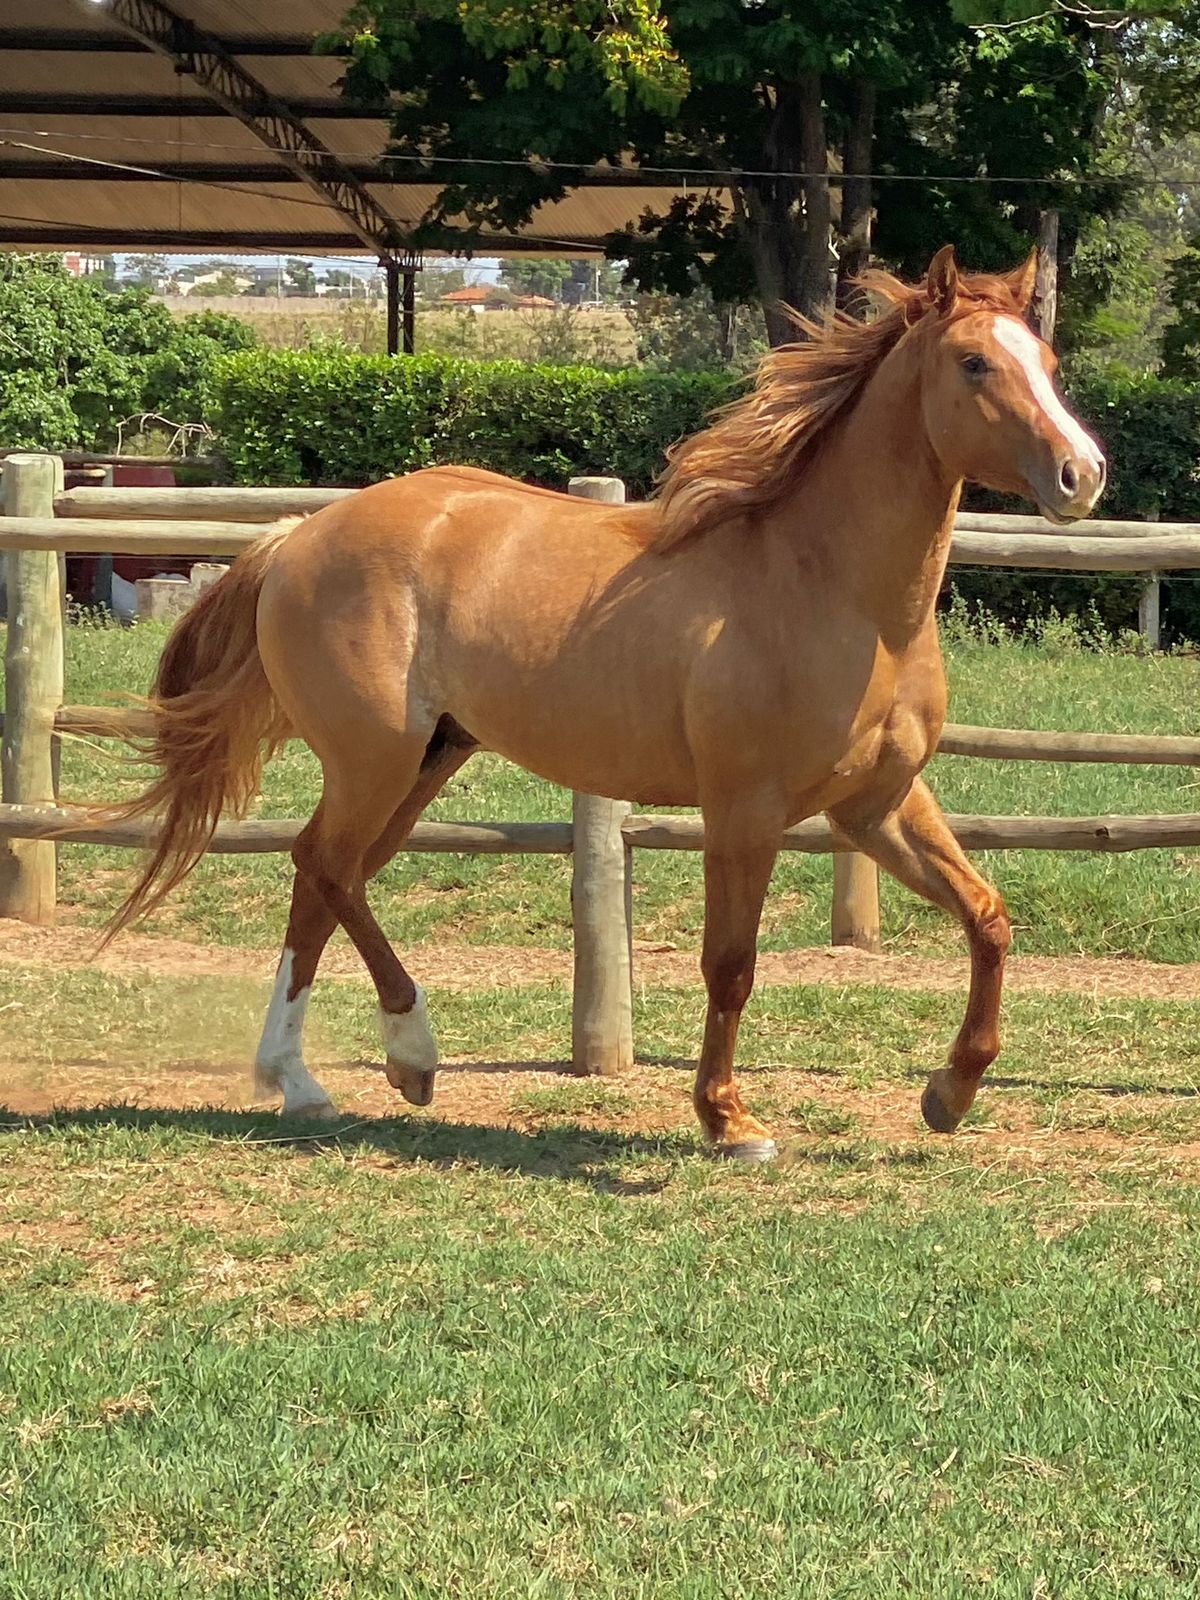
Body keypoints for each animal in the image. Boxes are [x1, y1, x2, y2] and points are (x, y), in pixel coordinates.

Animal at [99, 245, 1105, 1160]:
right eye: (974, 363)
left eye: (1048, 361)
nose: (1083, 473)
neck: (835, 592)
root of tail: (297, 536)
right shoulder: (745, 809)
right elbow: (730, 964)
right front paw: (729, 1121)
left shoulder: (877, 805)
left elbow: (988, 918)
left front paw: (949, 1093)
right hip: (373, 759)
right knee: (326, 867)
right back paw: (409, 1053)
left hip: (422, 761)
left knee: (324, 880)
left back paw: (305, 1081)